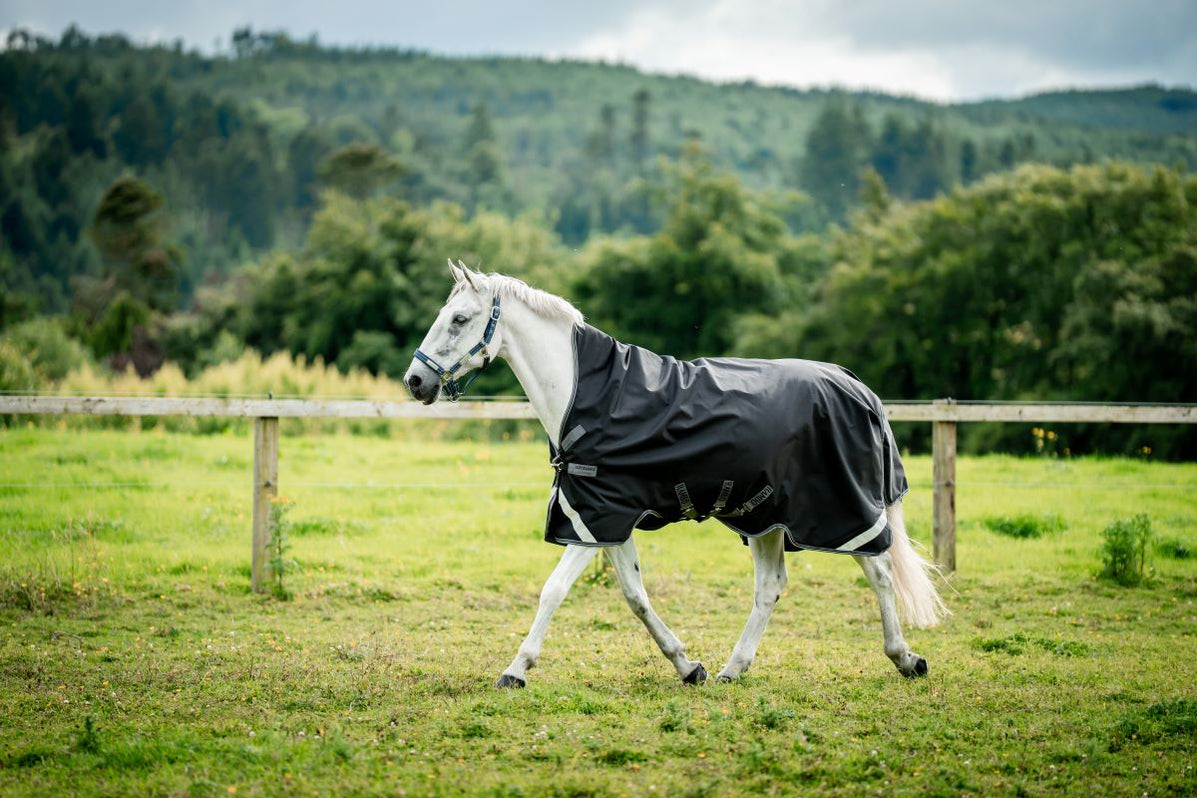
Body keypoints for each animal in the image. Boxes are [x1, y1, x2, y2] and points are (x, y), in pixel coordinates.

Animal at [404, 261, 947, 688]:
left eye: (459, 319)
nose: (415, 381)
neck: (590, 396)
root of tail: (858, 388)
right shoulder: (607, 521)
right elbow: (635, 596)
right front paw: (688, 666)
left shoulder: (594, 520)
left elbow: (553, 590)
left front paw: (515, 670)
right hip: (766, 517)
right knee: (770, 587)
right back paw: (732, 668)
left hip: (841, 512)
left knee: (879, 570)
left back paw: (906, 659)